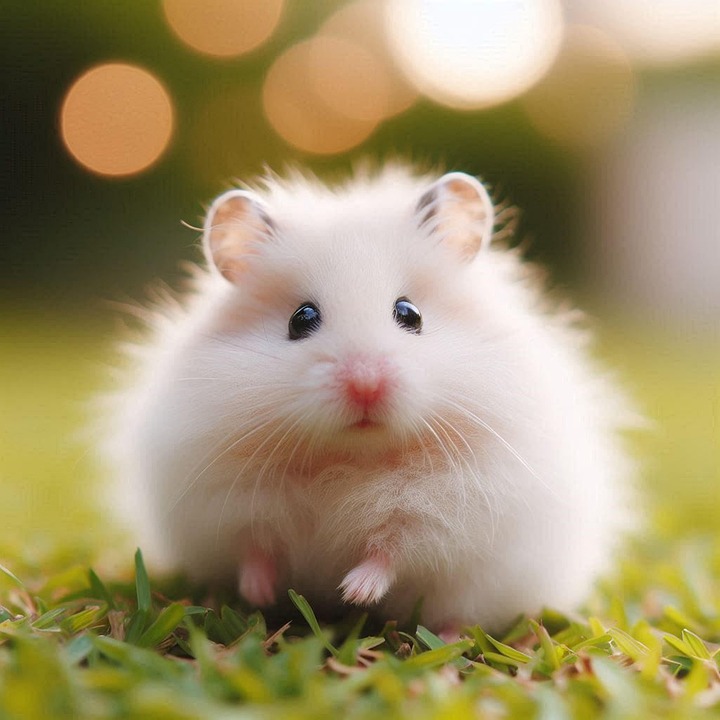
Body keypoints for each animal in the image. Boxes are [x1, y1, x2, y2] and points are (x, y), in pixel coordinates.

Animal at [102, 166, 634, 635]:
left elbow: (392, 552)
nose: (365, 384)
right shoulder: (225, 500)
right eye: (300, 318)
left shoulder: (446, 518)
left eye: (410, 314)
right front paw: (260, 594)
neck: (349, 458)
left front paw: (354, 593)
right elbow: (254, 548)